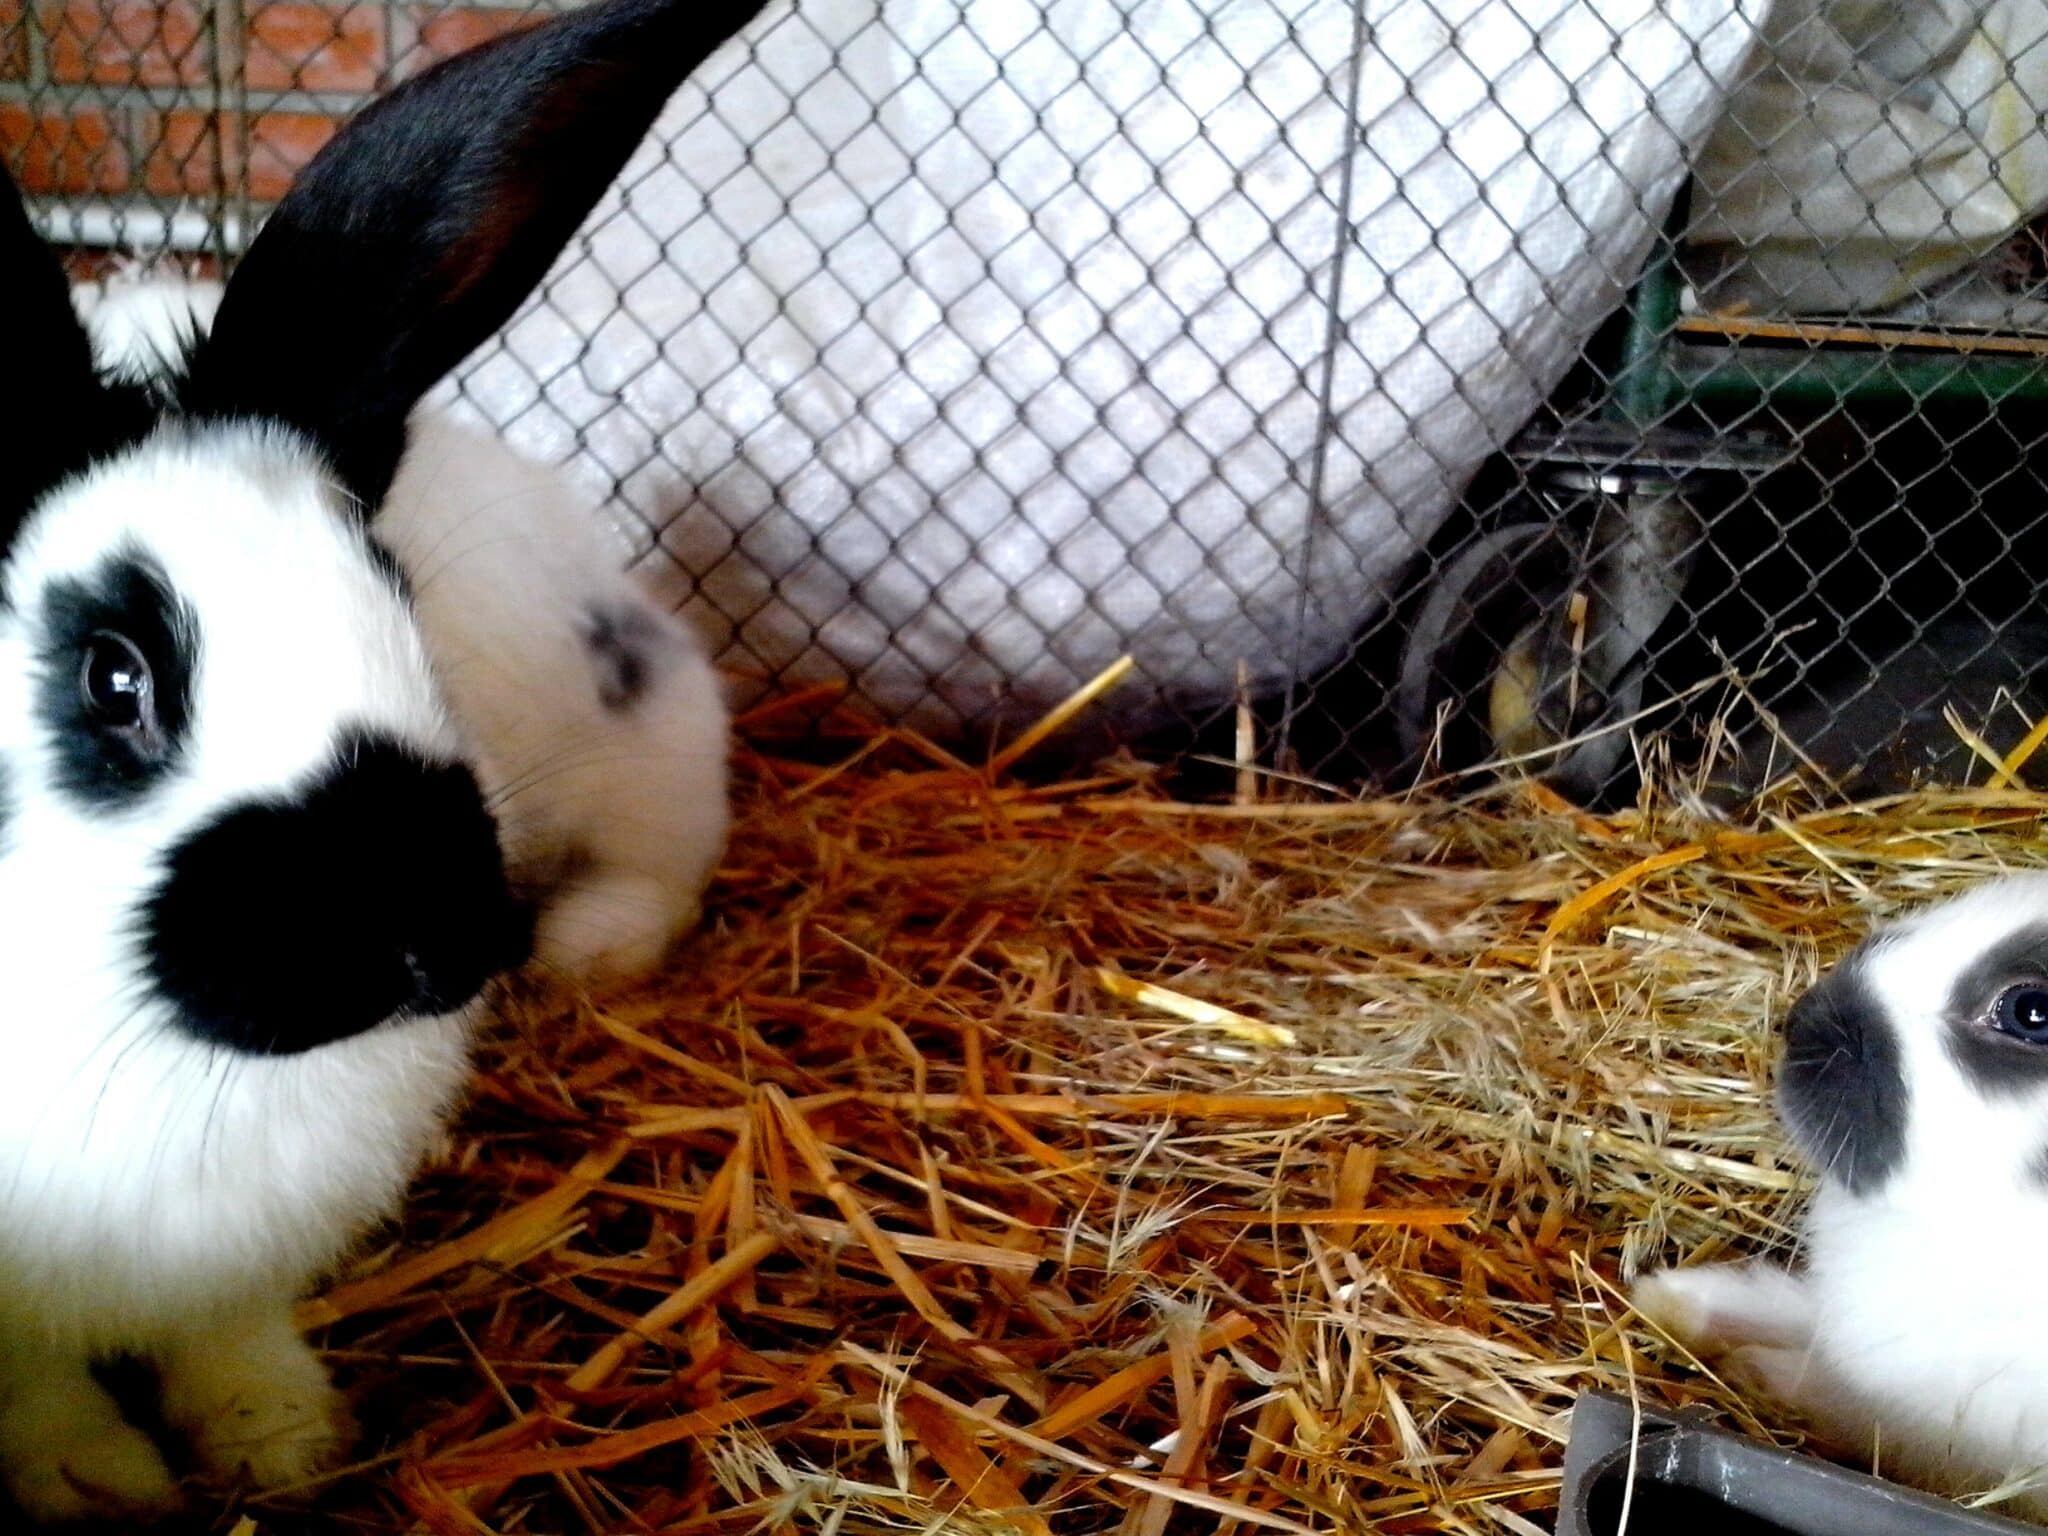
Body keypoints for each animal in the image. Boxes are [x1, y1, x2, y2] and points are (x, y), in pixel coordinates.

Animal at [1635, 871, 2048, 1519]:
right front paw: (1668, 1299)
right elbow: (1782, 1307)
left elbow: (1840, 1398)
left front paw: (1752, 1368)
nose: (1801, 1018)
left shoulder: (1926, 1423)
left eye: (2033, 1013)